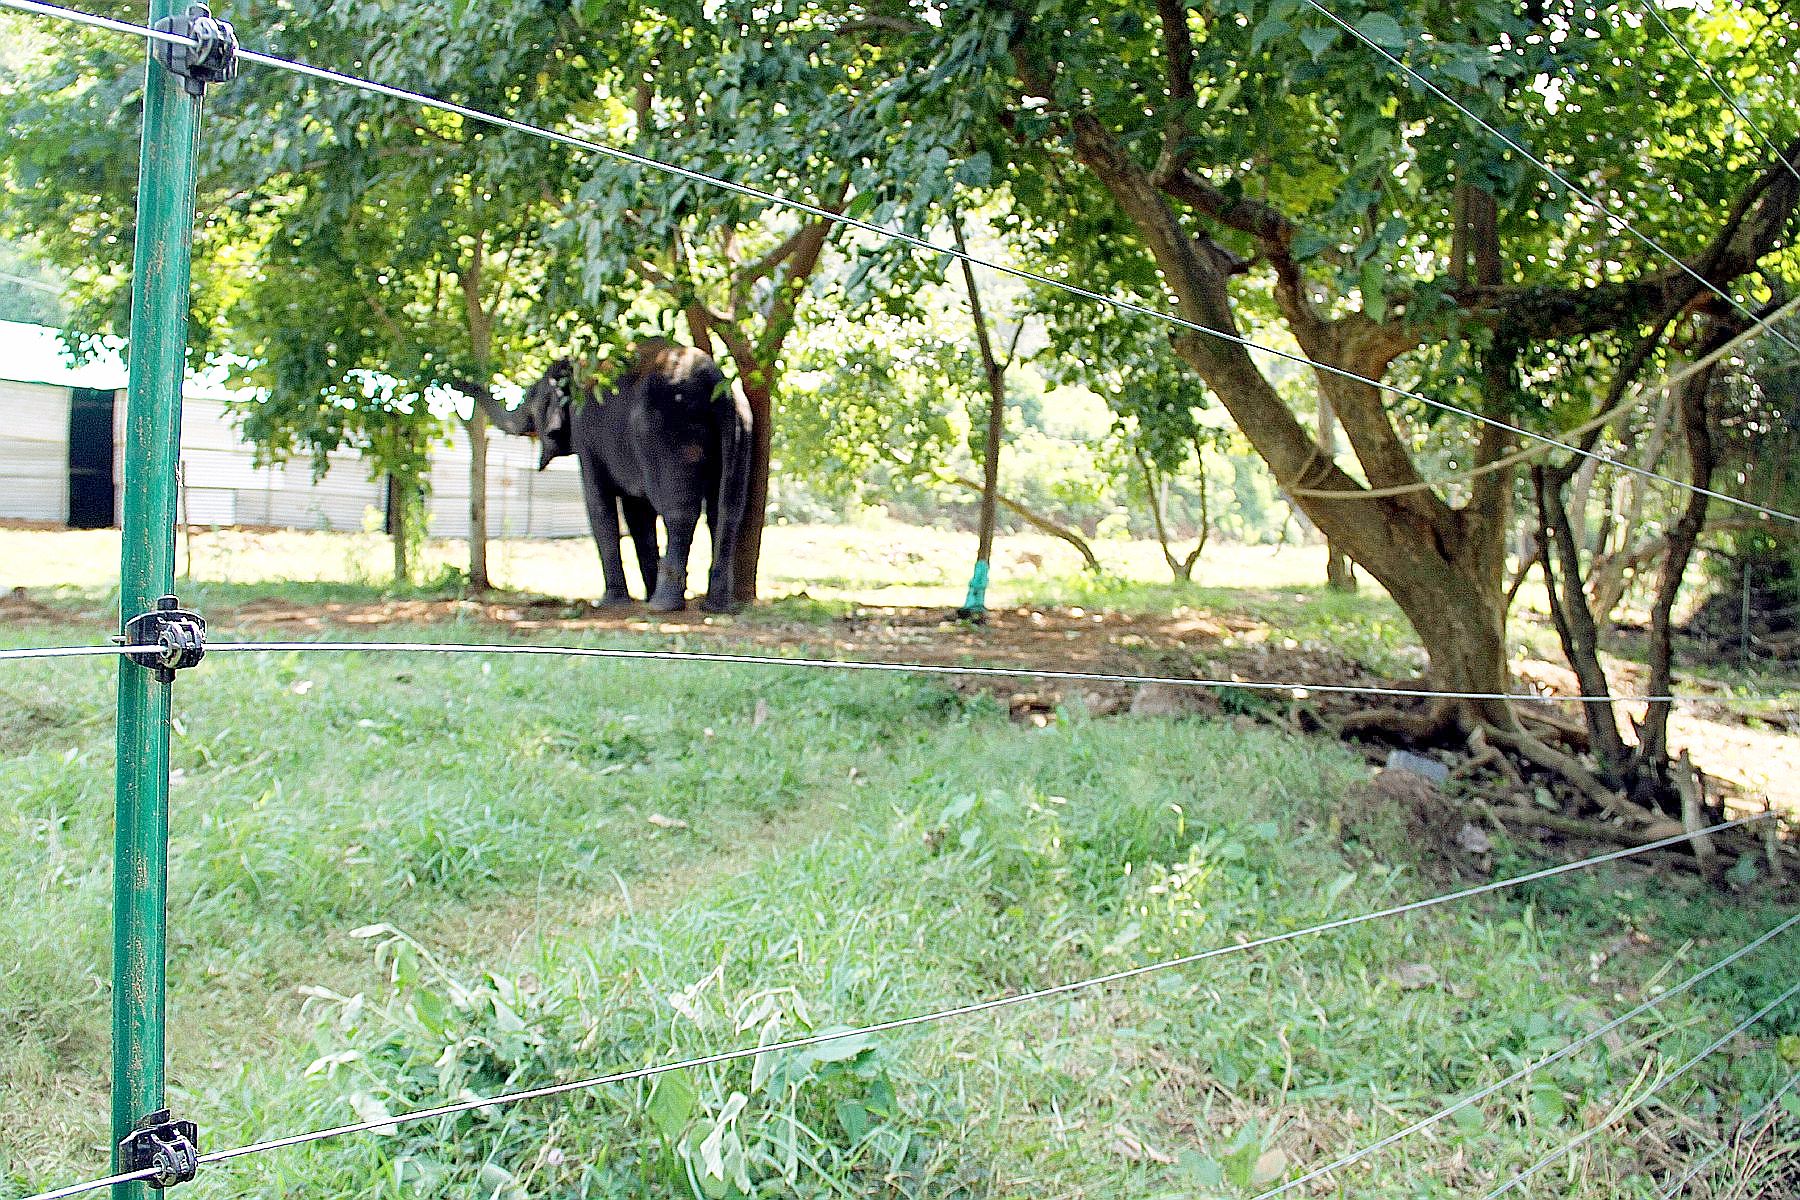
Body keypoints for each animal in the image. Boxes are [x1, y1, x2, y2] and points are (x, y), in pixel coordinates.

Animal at [477, 340, 753, 613]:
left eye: (530, 397)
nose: (467, 383)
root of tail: (716, 382)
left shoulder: (585, 435)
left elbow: (598, 504)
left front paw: (610, 603)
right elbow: (636, 512)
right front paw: (643, 595)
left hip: (670, 434)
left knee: (679, 513)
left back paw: (663, 606)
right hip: (743, 424)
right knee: (726, 511)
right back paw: (717, 607)